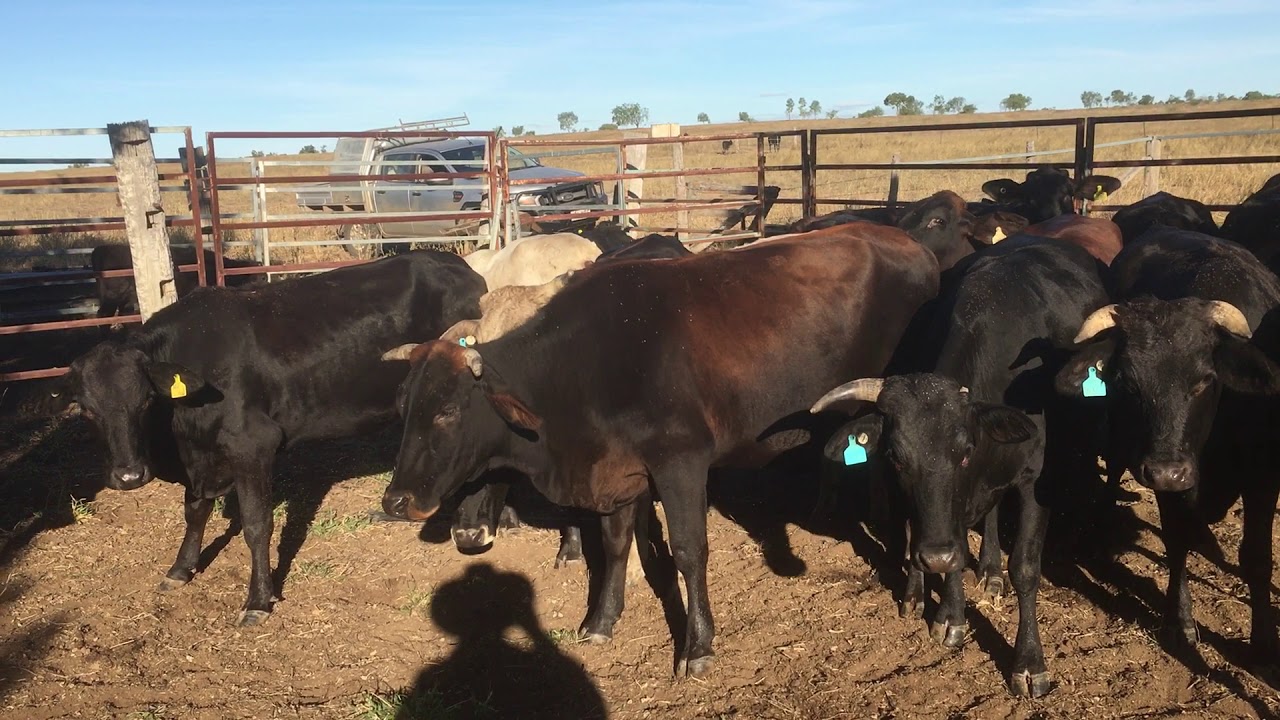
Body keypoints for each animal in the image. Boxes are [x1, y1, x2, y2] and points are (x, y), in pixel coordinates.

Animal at [45, 250, 486, 626]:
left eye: (145, 400)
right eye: (87, 409)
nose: (129, 476)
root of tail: (461, 266)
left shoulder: (252, 446)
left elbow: (257, 524)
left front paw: (258, 600)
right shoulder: (200, 457)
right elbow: (194, 512)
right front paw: (180, 569)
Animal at [811, 375, 1048, 697]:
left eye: (965, 452)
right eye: (895, 457)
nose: (935, 557)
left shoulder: (1034, 480)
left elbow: (1024, 569)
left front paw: (1029, 663)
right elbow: (945, 552)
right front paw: (949, 616)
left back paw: (989, 571)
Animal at [1054, 228, 1280, 665]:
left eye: (1204, 380)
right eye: (1127, 382)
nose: (1166, 471)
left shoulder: (1262, 476)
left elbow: (1257, 559)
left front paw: (1263, 642)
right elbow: (1177, 540)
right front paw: (1180, 622)